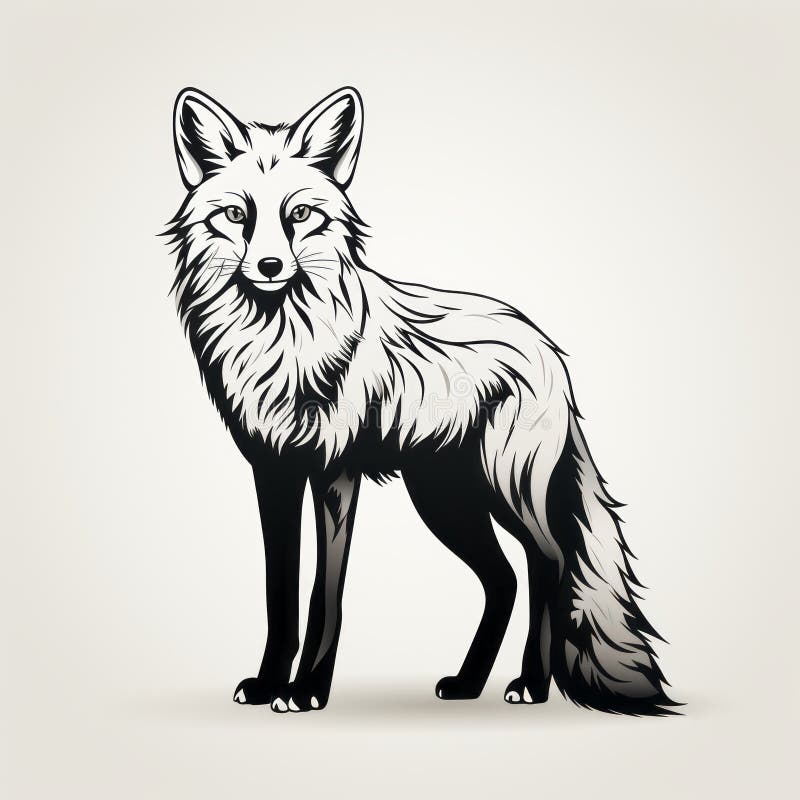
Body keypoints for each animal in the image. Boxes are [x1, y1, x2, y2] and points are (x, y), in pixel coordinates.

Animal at [164, 86, 675, 715]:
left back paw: (531, 683)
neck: (285, 344)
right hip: (444, 498)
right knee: (502, 579)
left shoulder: (334, 473)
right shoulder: (273, 471)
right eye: (236, 216)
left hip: (503, 489)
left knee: (548, 563)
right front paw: (267, 684)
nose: (269, 266)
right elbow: (279, 590)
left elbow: (324, 593)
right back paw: (468, 683)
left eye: (300, 215)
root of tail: (546, 344)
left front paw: (306, 690)